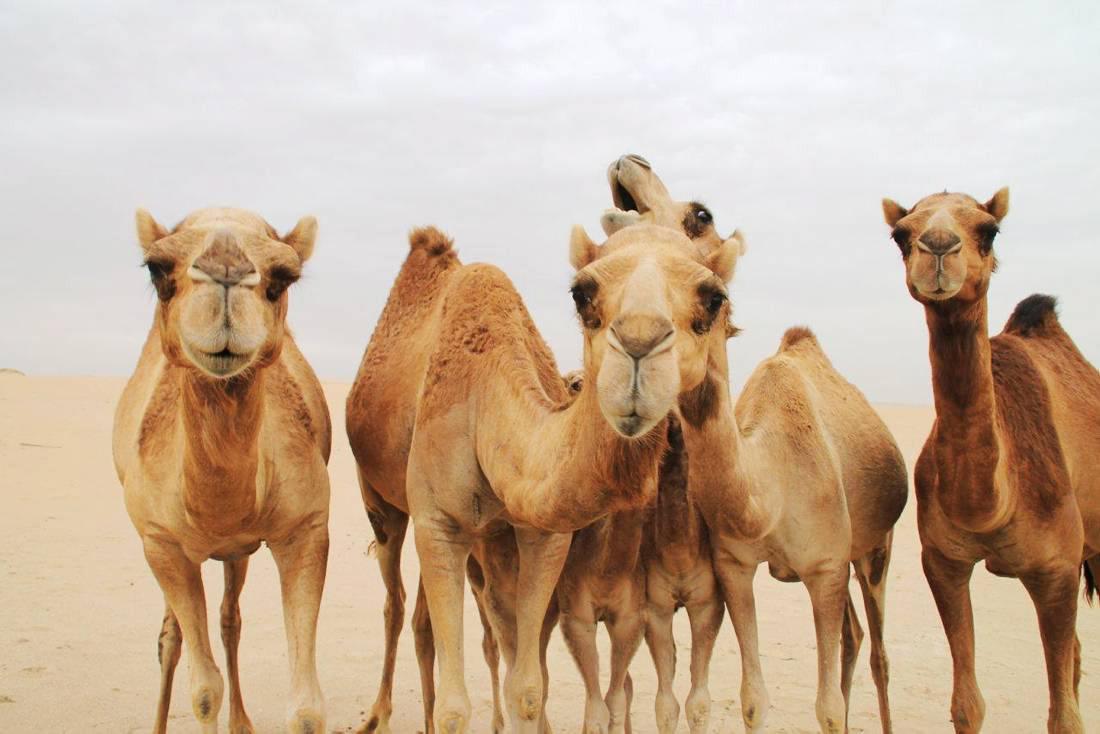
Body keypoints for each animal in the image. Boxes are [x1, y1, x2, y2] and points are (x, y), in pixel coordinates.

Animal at [112, 207, 331, 734]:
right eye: (157, 269)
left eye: (283, 277)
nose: (227, 265)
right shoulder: (162, 544)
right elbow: (205, 689)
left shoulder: (305, 529)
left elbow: (306, 707)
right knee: (171, 638)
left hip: (236, 551)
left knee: (230, 619)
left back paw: (242, 721)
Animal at [555, 154, 742, 734]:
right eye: (581, 293)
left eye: (701, 214)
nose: (630, 161)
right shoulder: (623, 613)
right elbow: (623, 703)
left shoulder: (692, 607)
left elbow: (689, 699)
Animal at [577, 208, 909, 733]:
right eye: (582, 293)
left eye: (713, 298)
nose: (637, 348)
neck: (770, 492)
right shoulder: (735, 566)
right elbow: (754, 697)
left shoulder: (826, 568)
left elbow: (829, 708)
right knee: (855, 636)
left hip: (875, 548)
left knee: (878, 652)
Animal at [880, 189, 1099, 732]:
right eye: (901, 235)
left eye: (989, 230)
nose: (938, 247)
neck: (994, 503)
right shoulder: (944, 562)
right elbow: (967, 703)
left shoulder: (1057, 570)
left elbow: (1064, 718)